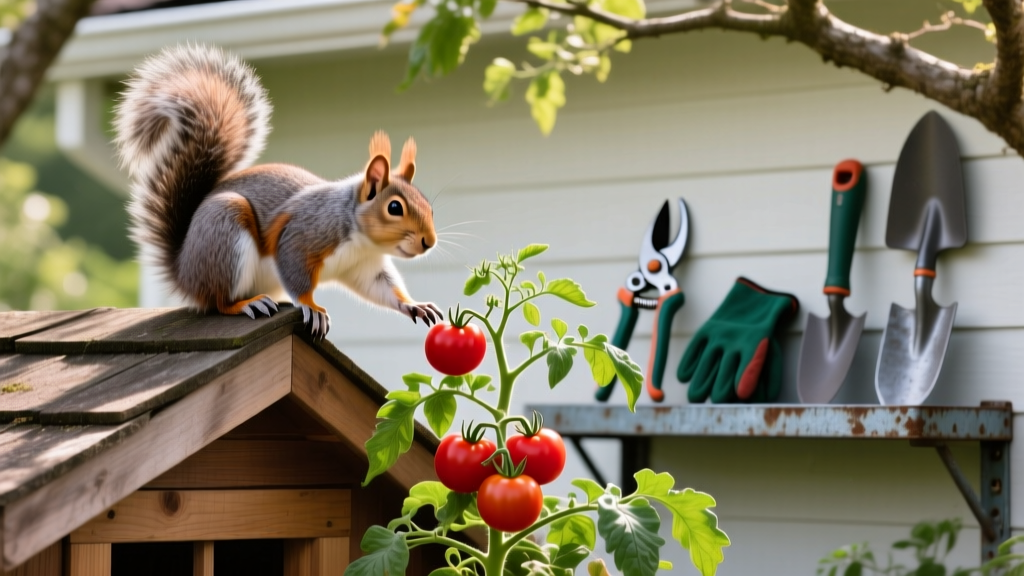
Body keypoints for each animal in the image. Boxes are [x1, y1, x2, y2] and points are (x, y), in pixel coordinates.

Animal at [113, 44, 442, 339]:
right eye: (394, 207)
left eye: (429, 206)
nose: (429, 242)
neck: (360, 239)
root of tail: (184, 271)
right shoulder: (303, 236)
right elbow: (296, 274)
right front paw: (313, 308)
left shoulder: (365, 267)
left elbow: (382, 289)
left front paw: (414, 305)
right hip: (224, 237)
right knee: (219, 302)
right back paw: (249, 304)